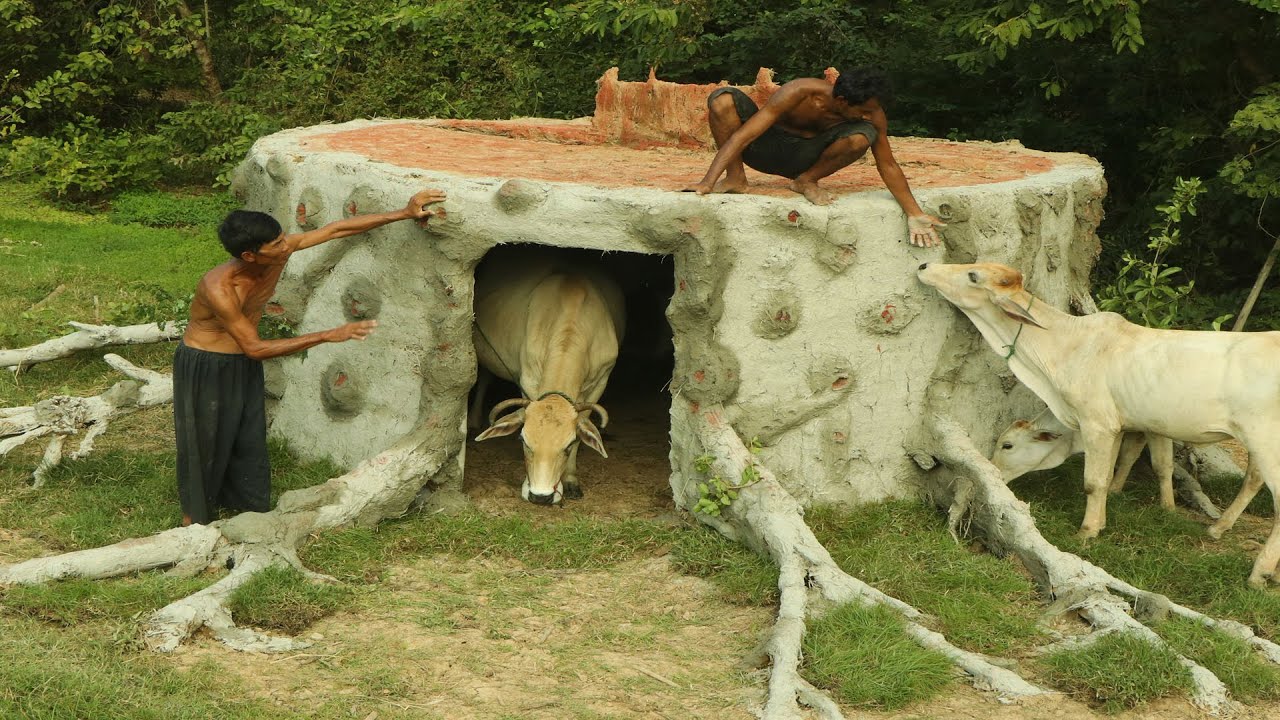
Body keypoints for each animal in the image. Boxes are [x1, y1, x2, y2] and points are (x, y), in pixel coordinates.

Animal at [470, 248, 626, 505]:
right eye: (523, 440)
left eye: (568, 444)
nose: (540, 496)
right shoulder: (528, 379)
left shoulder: (601, 380)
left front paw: (571, 480)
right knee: (483, 377)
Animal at [918, 261, 1280, 588]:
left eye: (972, 275)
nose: (924, 266)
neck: (1068, 345)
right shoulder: (1124, 427)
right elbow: (1122, 471)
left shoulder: (1097, 424)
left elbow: (1093, 482)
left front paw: (1088, 531)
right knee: (1252, 478)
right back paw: (1222, 530)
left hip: (1265, 442)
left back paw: (1259, 573)